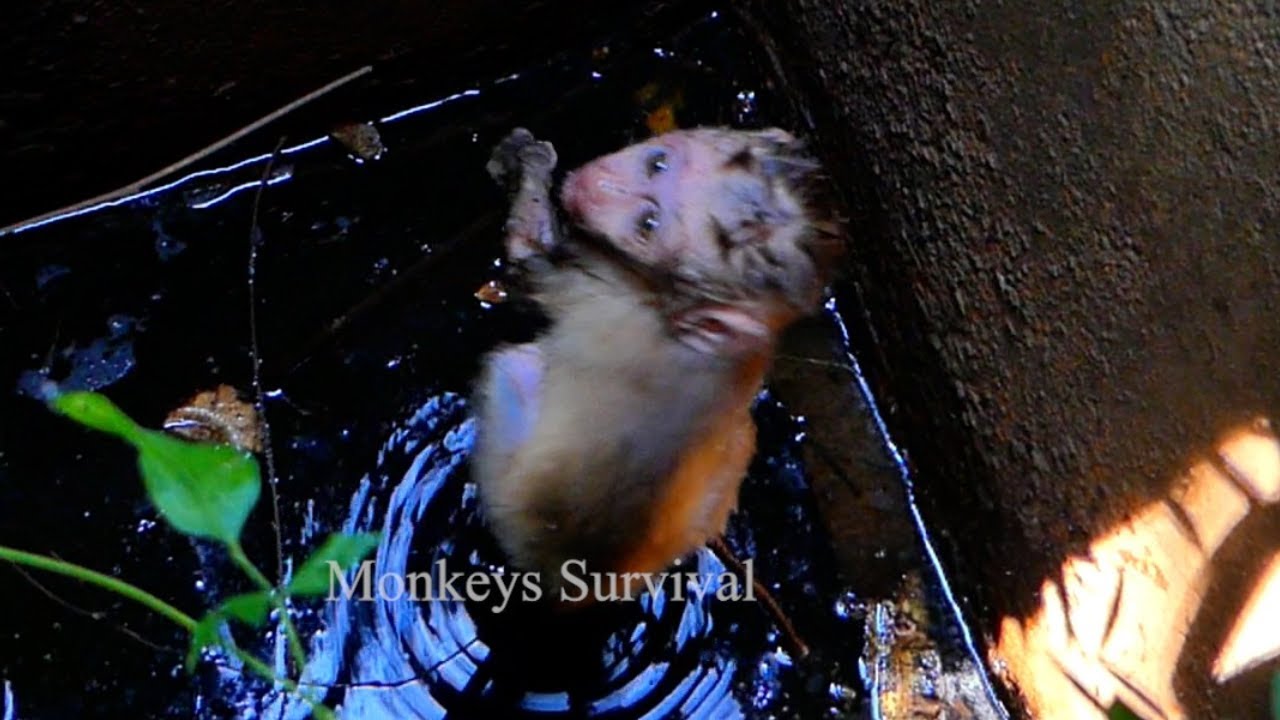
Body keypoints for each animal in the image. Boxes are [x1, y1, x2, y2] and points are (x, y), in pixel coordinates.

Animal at [469, 125, 844, 604]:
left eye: (647, 225)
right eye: (658, 163)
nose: (595, 186)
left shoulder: (595, 284)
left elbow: (525, 265)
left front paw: (528, 168)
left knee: (513, 365)